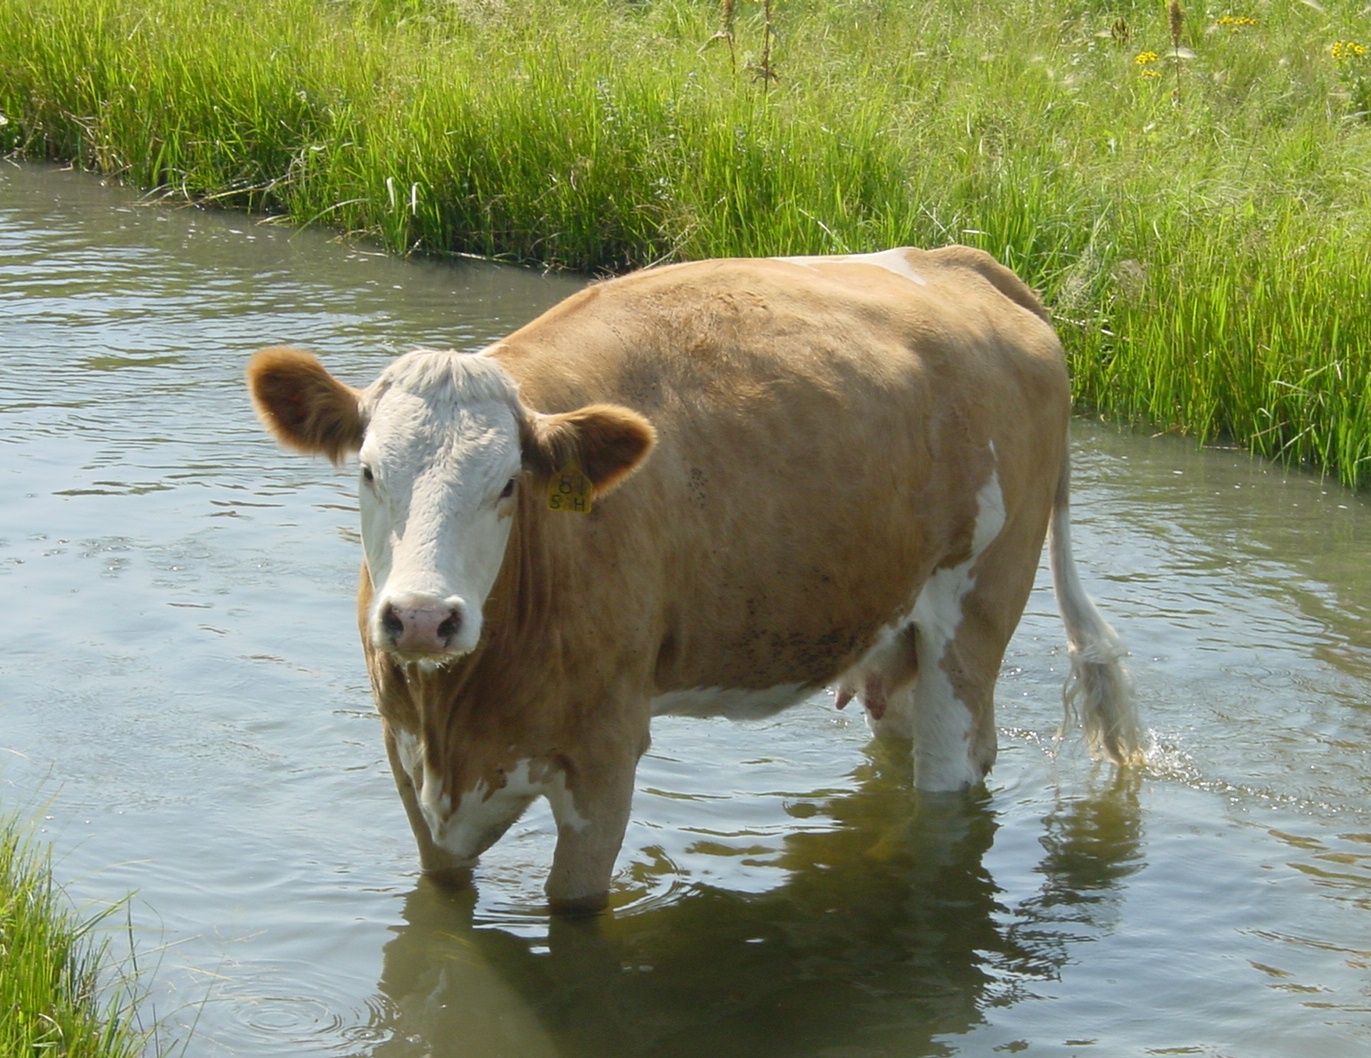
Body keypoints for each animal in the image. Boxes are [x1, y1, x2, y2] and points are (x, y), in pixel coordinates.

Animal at [247, 246, 1144, 913]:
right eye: (368, 471)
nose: (423, 619)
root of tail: (958, 261)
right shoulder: (409, 768)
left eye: (507, 485)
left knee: (953, 776)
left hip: (977, 612)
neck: (458, 722)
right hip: (898, 629)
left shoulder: (604, 760)